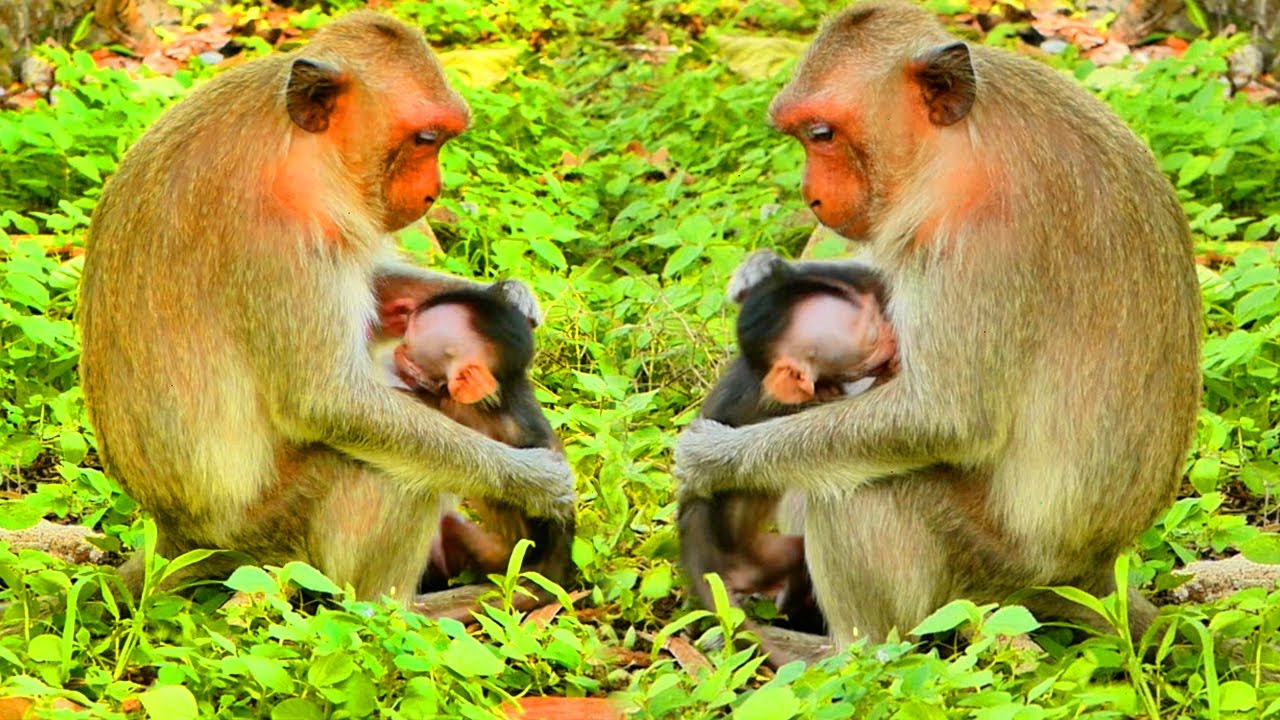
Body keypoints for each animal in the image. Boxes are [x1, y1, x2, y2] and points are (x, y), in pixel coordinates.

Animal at [376, 281, 574, 591]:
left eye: (407, 351)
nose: (397, 352)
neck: (505, 394)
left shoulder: (458, 407)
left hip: (492, 556)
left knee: (452, 526)